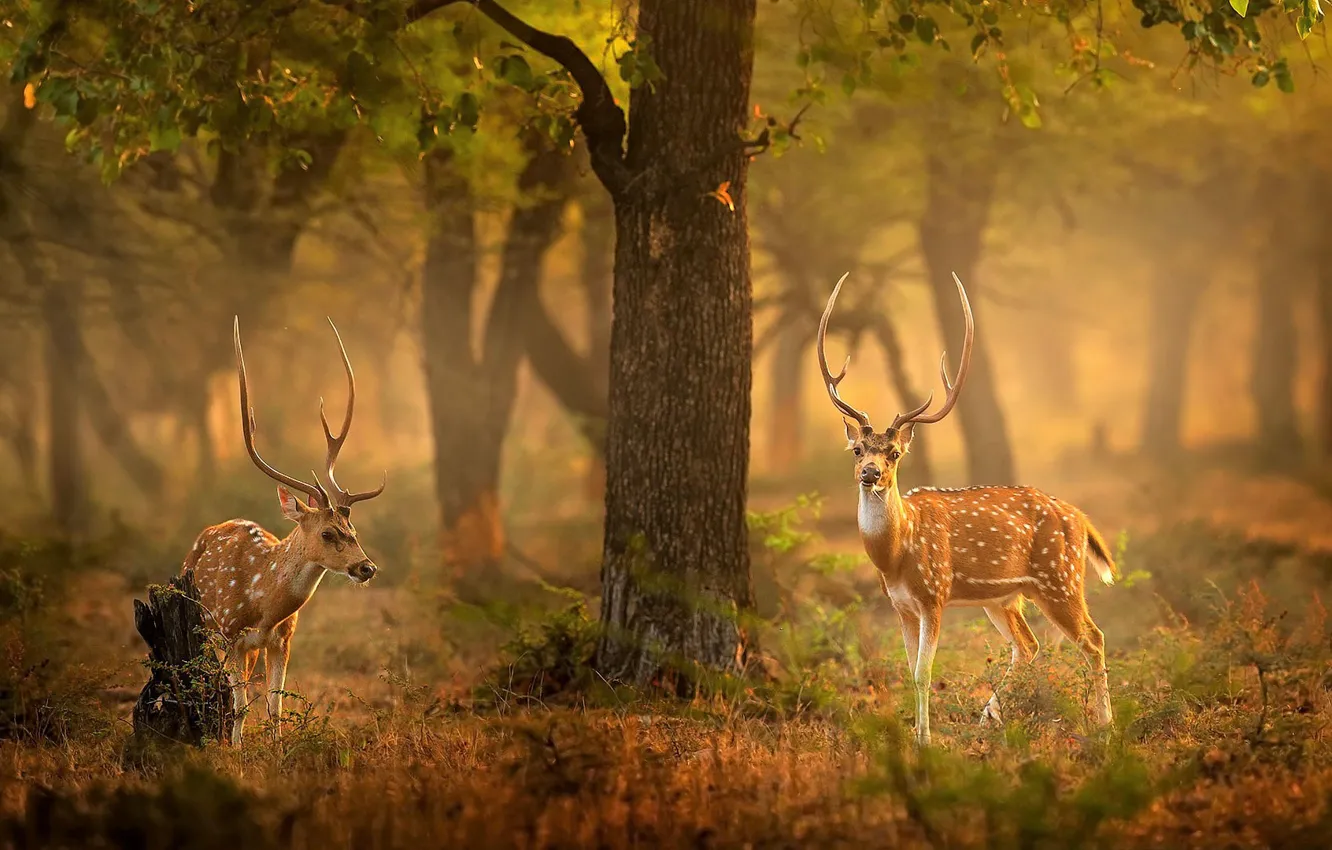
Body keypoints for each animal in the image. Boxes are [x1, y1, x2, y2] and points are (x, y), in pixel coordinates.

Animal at [179, 317, 386, 745]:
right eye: (327, 533)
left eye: (352, 528)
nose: (367, 568)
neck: (263, 605)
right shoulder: (230, 633)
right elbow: (241, 706)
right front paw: (236, 753)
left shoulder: (283, 639)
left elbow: (275, 708)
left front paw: (276, 751)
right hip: (201, 627)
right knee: (215, 688)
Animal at [817, 271, 1116, 746]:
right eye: (858, 449)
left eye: (895, 453)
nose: (870, 473)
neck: (896, 555)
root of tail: (1081, 519)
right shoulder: (900, 605)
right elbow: (910, 671)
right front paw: (919, 733)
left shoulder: (934, 594)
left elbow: (923, 673)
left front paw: (924, 741)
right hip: (1005, 596)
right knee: (1029, 644)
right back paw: (989, 717)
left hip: (1060, 578)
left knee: (1093, 637)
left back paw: (1105, 725)